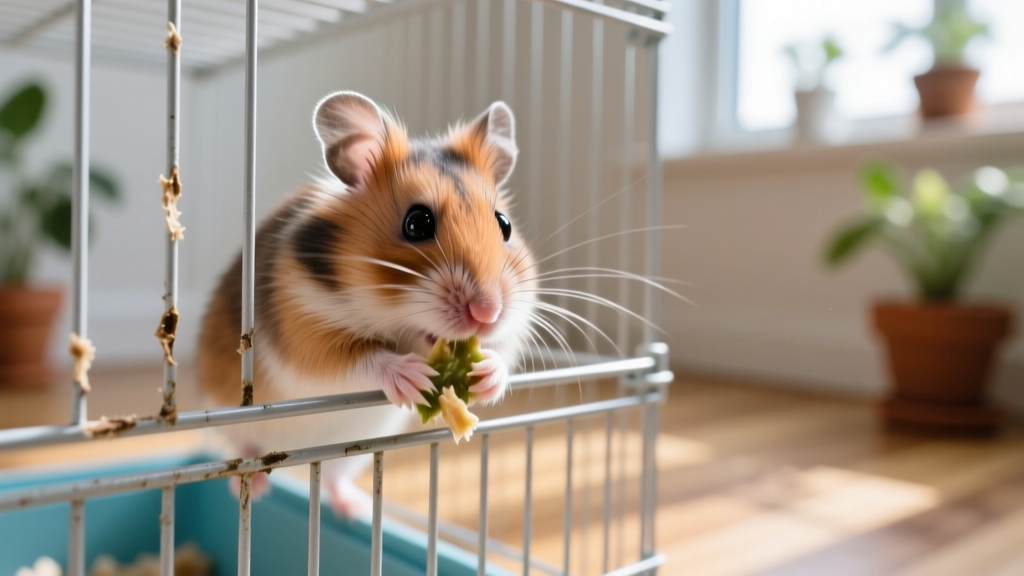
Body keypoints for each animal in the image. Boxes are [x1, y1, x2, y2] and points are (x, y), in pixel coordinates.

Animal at [197, 91, 537, 515]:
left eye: (504, 224)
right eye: (417, 223)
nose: (487, 314)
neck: (388, 315)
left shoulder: (514, 327)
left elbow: (502, 356)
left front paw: (485, 372)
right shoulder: (301, 331)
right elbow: (356, 359)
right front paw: (415, 377)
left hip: (349, 458)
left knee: (332, 481)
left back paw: (354, 509)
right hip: (236, 427)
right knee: (245, 453)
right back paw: (255, 488)